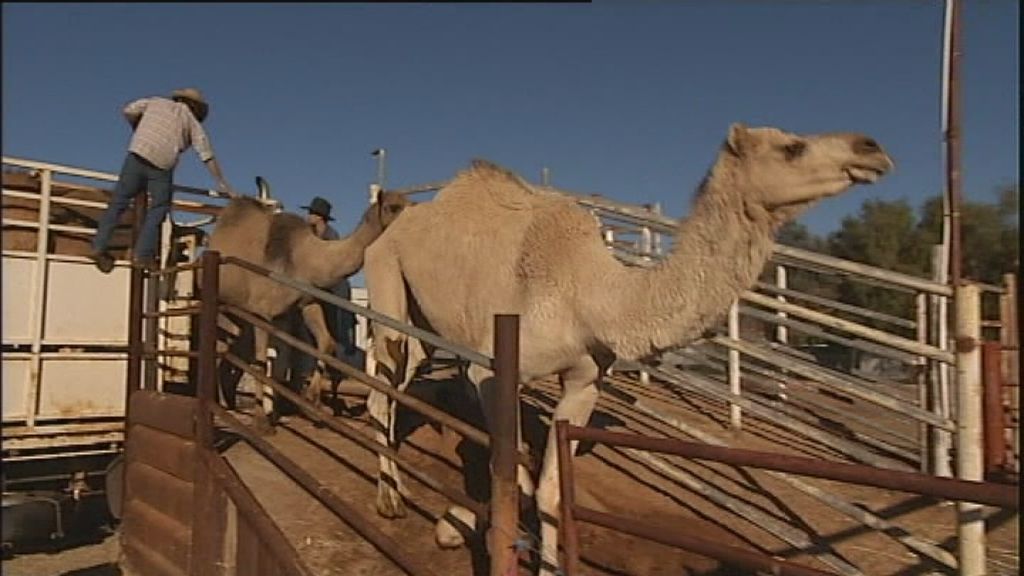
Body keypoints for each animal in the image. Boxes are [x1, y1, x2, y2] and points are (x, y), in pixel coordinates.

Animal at [207, 190, 409, 429]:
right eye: (392, 207)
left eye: (410, 202)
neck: (304, 258)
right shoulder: (262, 312)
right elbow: (261, 362)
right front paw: (262, 421)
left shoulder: (304, 304)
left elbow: (325, 343)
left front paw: (310, 403)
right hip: (222, 304)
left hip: (236, 313)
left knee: (228, 347)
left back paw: (227, 403)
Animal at [363, 124, 894, 574]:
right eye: (791, 147)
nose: (871, 147)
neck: (591, 293)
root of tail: (391, 227)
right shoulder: (495, 368)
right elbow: (513, 468)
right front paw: (469, 528)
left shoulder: (584, 383)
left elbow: (551, 490)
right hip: (388, 282)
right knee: (382, 386)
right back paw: (389, 502)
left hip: (425, 325)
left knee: (398, 381)